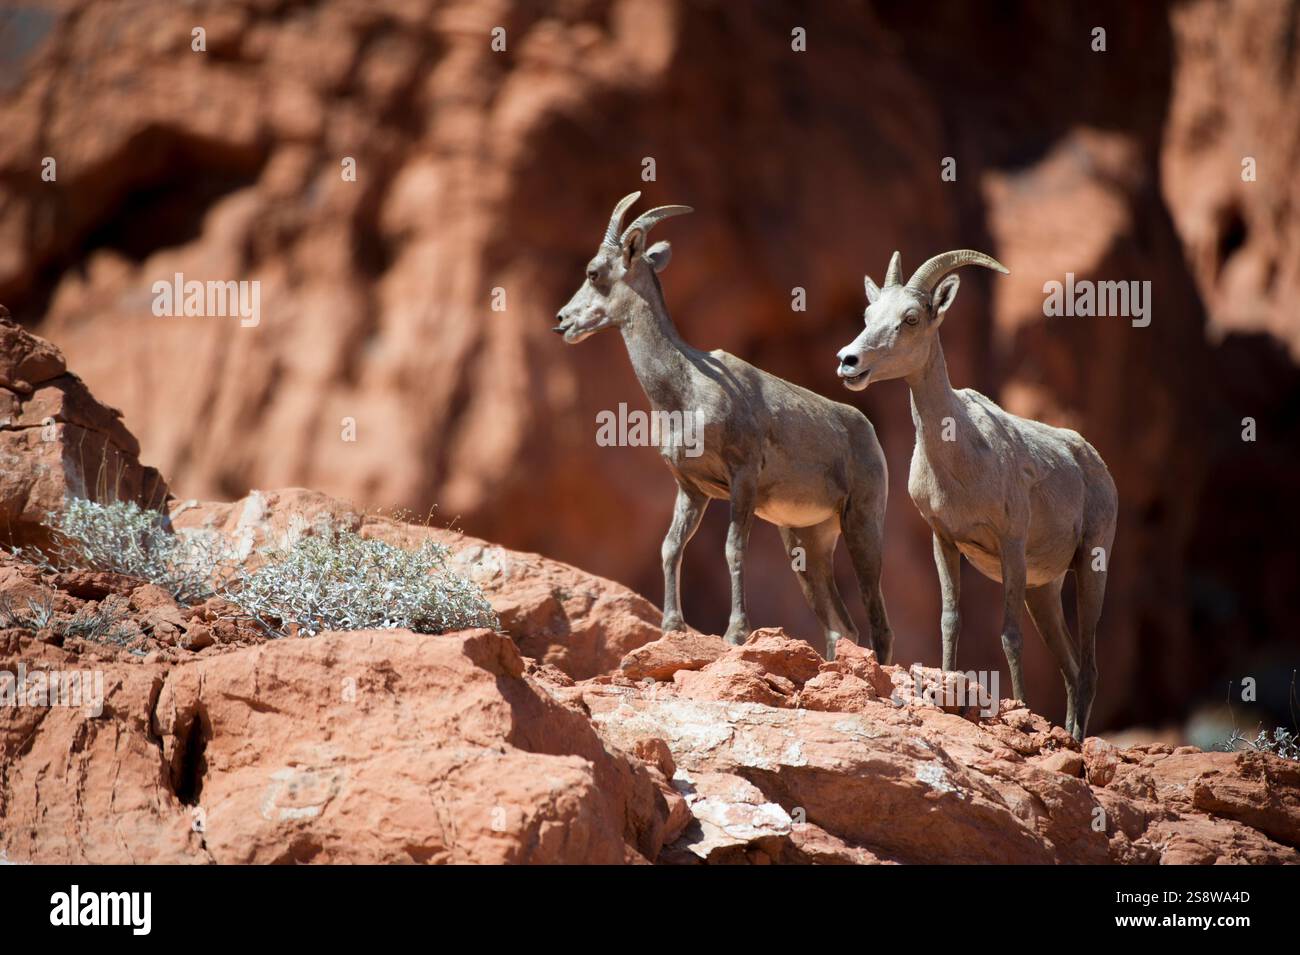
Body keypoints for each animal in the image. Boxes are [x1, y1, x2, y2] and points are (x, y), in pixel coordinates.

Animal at [835, 250, 1117, 738]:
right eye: (869, 315)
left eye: (911, 318)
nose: (849, 361)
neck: (961, 452)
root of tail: (1093, 461)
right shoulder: (944, 541)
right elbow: (950, 619)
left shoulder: (1011, 546)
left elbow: (1008, 635)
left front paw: (1021, 709)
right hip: (1043, 591)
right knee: (1070, 666)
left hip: (1089, 567)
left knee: (1089, 667)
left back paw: (1076, 740)